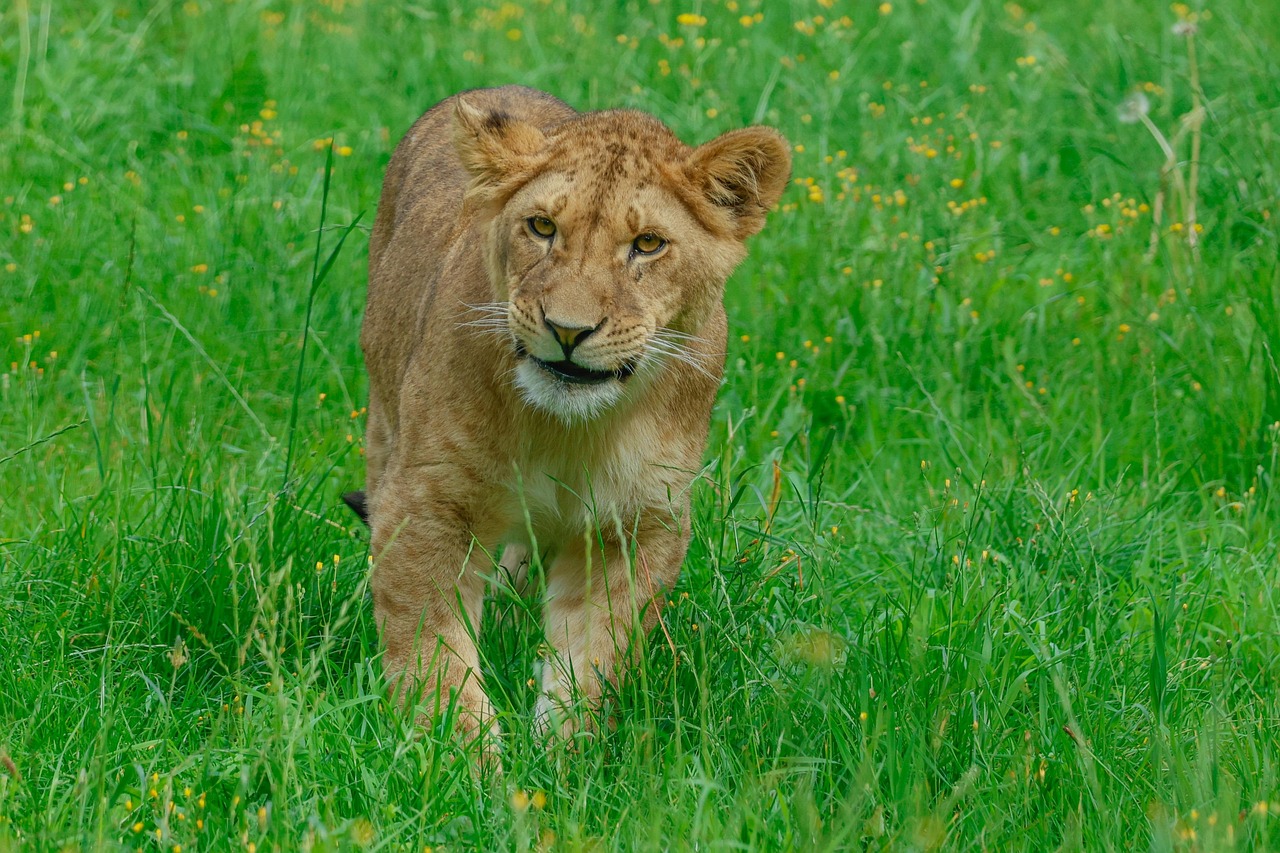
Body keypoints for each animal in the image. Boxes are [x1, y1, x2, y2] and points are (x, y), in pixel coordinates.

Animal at [348, 85, 790, 741]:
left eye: (648, 243)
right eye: (542, 226)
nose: (568, 330)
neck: (566, 431)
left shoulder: (635, 524)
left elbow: (594, 656)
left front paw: (560, 753)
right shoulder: (428, 500)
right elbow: (433, 653)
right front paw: (462, 756)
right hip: (384, 416)